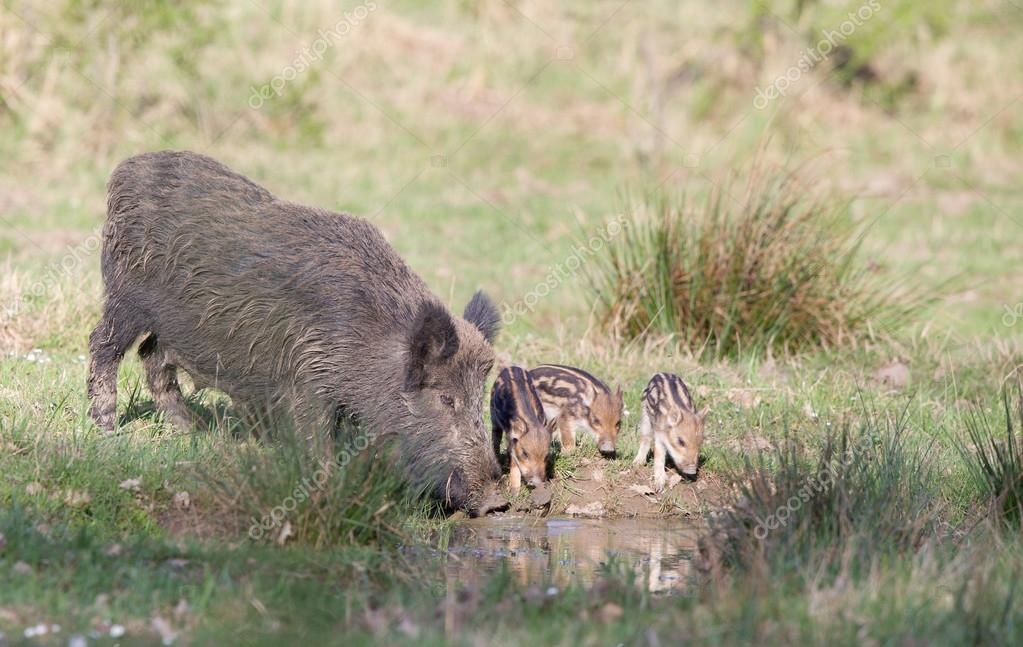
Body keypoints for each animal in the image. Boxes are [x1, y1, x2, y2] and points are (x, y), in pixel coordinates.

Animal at [87, 150, 503, 513]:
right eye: (445, 397)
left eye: (478, 394)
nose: (496, 501)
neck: (367, 344)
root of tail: (127, 169)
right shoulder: (307, 379)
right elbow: (314, 441)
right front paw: (326, 486)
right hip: (125, 297)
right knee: (103, 345)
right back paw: (107, 428)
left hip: (168, 326)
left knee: (151, 357)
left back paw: (197, 431)